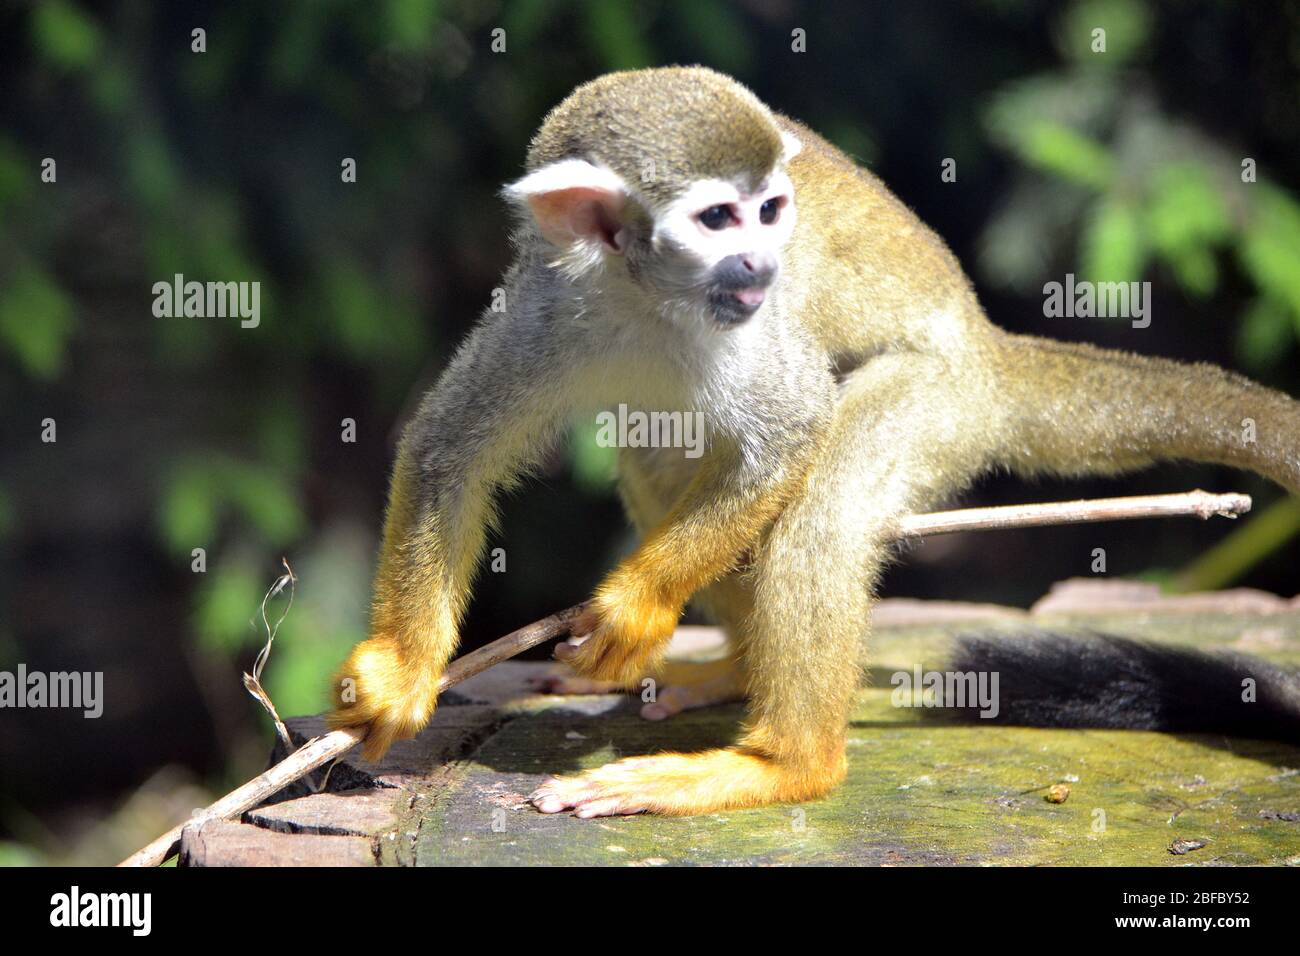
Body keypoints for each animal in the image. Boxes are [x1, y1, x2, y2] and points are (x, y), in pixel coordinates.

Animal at [329, 66, 1300, 817]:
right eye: (720, 220)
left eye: (770, 211)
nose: (766, 262)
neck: (645, 301)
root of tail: (990, 348)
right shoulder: (547, 301)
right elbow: (451, 444)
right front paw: (408, 670)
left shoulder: (759, 329)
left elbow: (792, 436)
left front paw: (637, 606)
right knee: (658, 457)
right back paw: (733, 672)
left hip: (938, 400)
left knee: (823, 512)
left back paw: (781, 764)